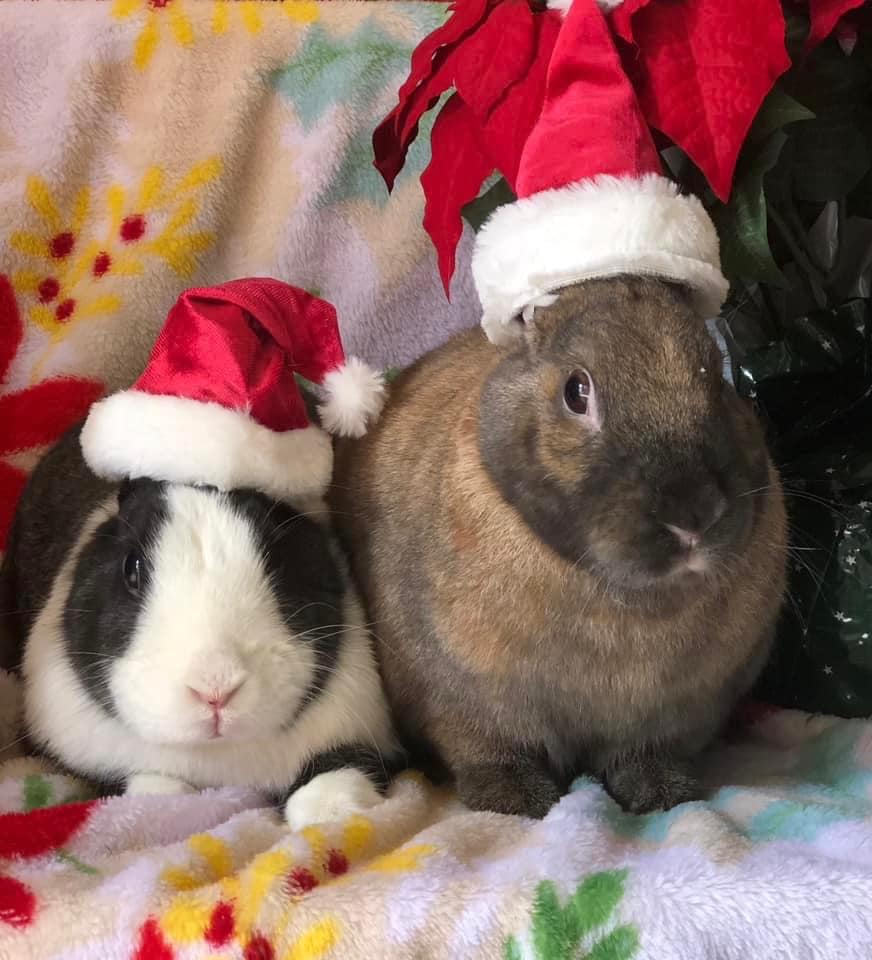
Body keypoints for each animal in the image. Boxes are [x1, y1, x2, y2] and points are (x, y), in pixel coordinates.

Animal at [0, 422, 400, 830]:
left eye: (280, 562)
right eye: (132, 568)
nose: (216, 690)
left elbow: (341, 767)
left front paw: (333, 811)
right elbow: (137, 781)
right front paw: (168, 799)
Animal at [330, 275, 787, 818]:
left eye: (717, 377)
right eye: (576, 392)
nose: (693, 517)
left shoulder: (679, 716)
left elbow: (647, 754)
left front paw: (663, 794)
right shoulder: (460, 704)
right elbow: (490, 750)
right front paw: (514, 801)